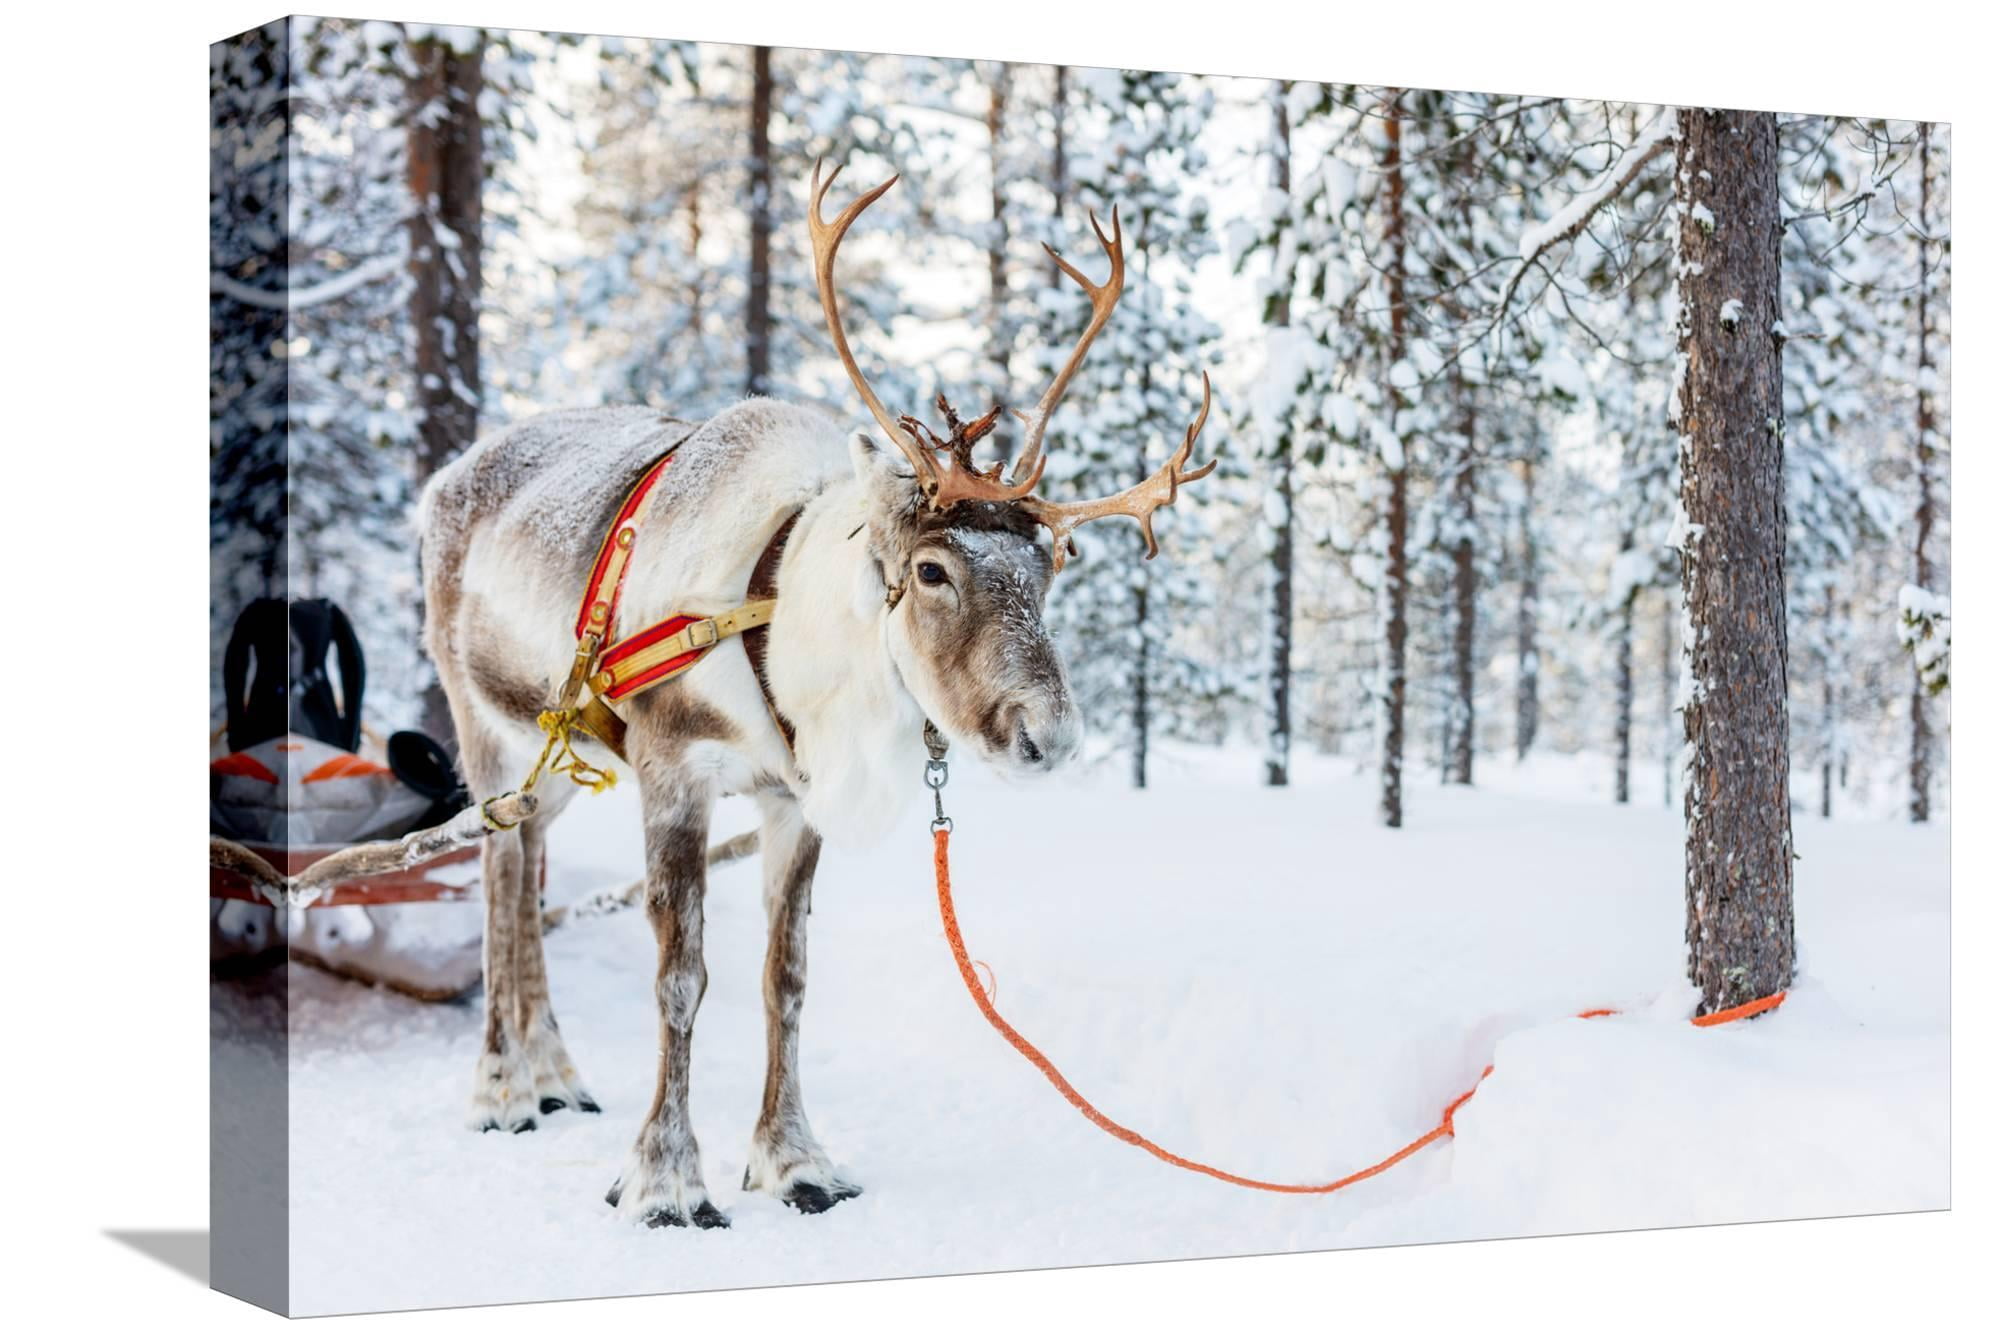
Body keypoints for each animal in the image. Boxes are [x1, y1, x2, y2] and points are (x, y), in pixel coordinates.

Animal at [416, 162, 1216, 1230]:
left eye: (1047, 566)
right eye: (930, 570)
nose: (1050, 736)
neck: (776, 626)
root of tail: (443, 482)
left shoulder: (792, 800)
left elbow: (784, 979)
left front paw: (796, 1162)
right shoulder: (673, 771)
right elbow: (681, 978)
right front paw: (665, 1182)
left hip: (561, 748)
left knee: (532, 853)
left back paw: (556, 1077)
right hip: (481, 720)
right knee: (501, 871)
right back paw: (502, 1090)